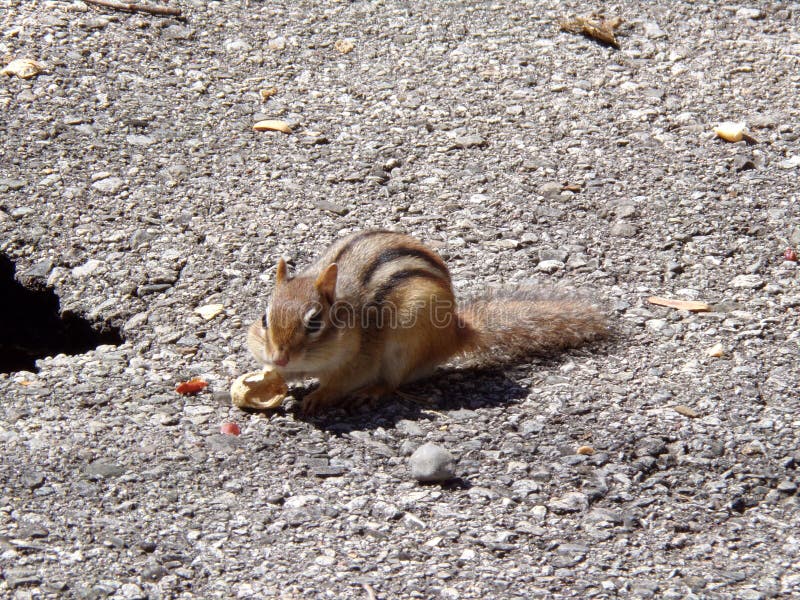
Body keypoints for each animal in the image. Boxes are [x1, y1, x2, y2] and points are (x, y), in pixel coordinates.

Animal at [247, 230, 608, 415]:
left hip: (406, 342)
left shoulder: (360, 359)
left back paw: (372, 391)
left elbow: (341, 381)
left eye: (314, 323)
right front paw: (266, 377)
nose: (280, 357)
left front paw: (319, 396)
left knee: (393, 381)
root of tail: (454, 332)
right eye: (264, 318)